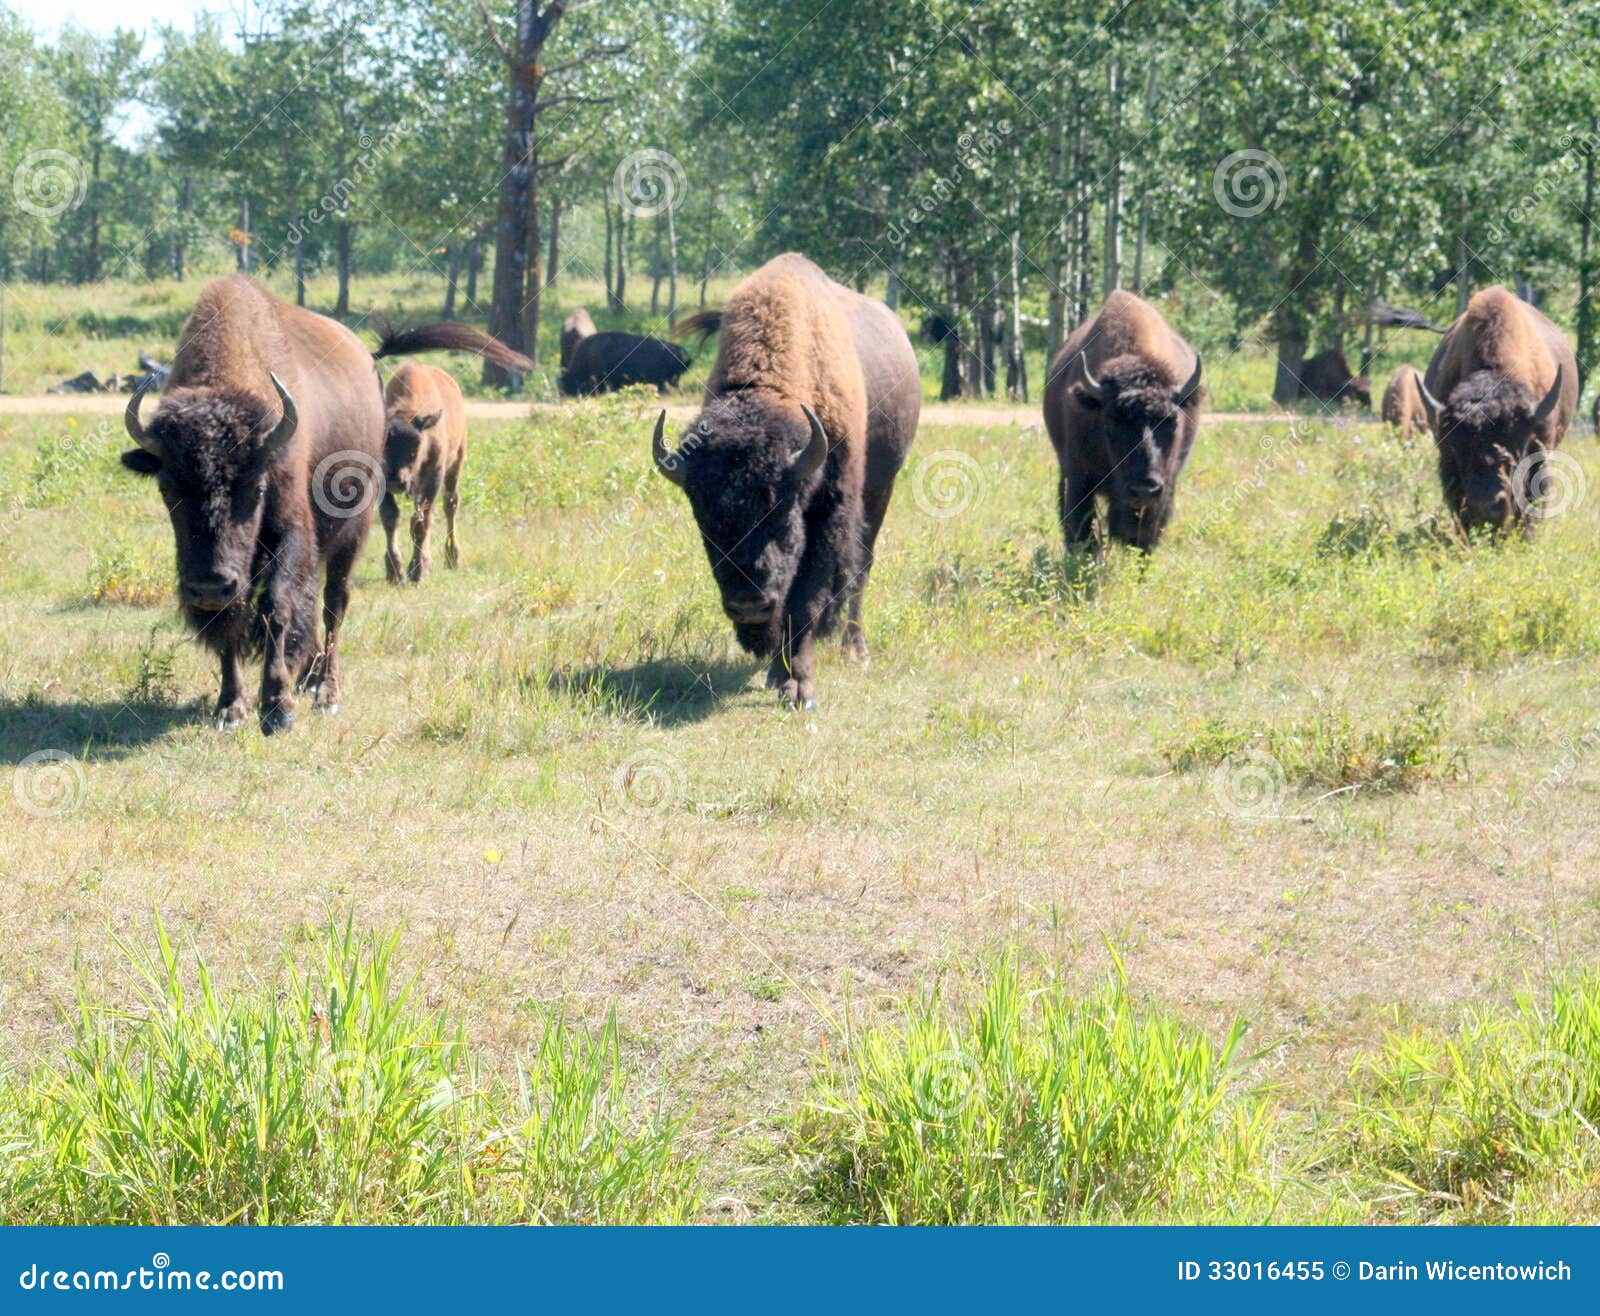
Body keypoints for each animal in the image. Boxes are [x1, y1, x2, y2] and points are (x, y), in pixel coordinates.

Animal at [380, 362, 468, 584]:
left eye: (416, 444)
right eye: (384, 443)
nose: (395, 480)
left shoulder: (434, 478)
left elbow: (421, 523)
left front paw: (416, 570)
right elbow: (390, 518)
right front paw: (395, 571)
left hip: (456, 464)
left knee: (450, 505)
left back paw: (451, 558)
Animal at [652, 253, 920, 709]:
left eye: (781, 514)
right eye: (705, 522)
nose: (748, 604)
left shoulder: (828, 512)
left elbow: (805, 598)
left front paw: (800, 688)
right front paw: (779, 676)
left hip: (882, 487)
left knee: (861, 566)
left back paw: (855, 649)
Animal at [1043, 290, 1203, 553]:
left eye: (1172, 423)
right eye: (1109, 425)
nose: (1144, 490)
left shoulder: (1164, 486)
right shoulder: (1077, 476)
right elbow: (1082, 526)